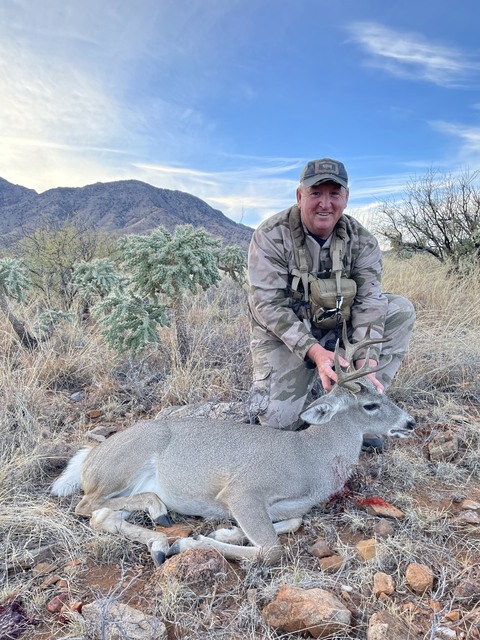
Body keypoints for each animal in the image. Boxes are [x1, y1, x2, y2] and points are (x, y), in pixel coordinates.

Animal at [51, 326, 415, 566]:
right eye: (370, 405)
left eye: (382, 393)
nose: (410, 422)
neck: (310, 457)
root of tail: (90, 456)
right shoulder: (243, 490)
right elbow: (271, 550)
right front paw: (192, 542)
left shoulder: (287, 507)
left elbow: (293, 523)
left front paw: (221, 534)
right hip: (126, 463)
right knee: (86, 504)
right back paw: (161, 518)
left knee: (101, 516)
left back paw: (159, 543)